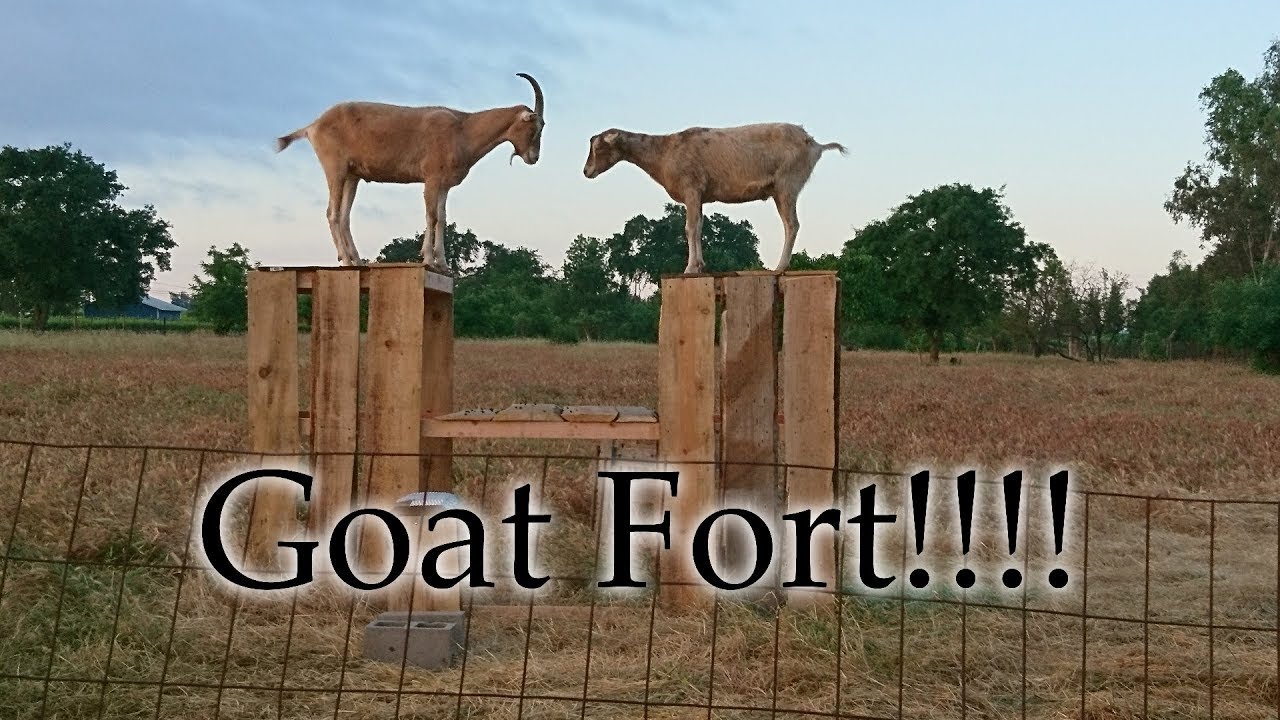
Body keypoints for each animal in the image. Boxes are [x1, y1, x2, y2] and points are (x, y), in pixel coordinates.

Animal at [275, 73, 545, 271]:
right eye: (536, 126)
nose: (534, 158)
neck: (463, 129)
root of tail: (312, 126)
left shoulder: (443, 184)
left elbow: (442, 218)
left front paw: (443, 265)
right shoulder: (431, 178)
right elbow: (431, 216)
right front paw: (428, 260)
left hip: (352, 176)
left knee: (344, 216)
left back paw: (357, 261)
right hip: (336, 168)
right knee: (332, 213)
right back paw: (347, 261)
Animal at [582, 123, 847, 274]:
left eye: (600, 148)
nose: (586, 171)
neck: (664, 153)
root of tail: (815, 144)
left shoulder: (691, 187)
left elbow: (689, 228)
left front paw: (689, 268)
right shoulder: (699, 196)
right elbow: (699, 227)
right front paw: (700, 265)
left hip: (786, 184)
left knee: (791, 225)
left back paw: (780, 267)